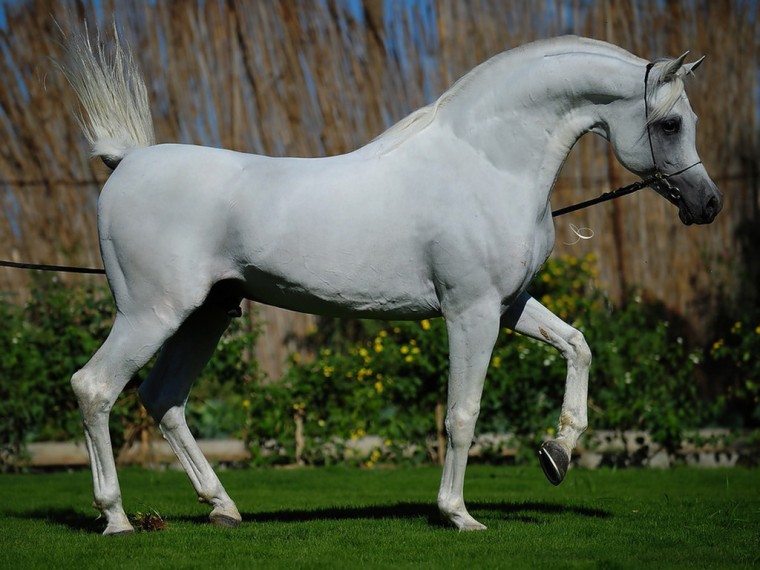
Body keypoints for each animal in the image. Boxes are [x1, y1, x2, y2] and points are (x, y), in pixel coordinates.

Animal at [56, 28, 722, 534]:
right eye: (669, 124)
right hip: (152, 314)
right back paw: (116, 519)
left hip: (206, 315)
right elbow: (461, 414)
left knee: (163, 398)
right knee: (95, 388)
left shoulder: (510, 306)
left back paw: (223, 507)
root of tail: (127, 163)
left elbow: (578, 346)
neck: (488, 163)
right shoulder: (471, 312)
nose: (708, 204)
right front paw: (459, 515)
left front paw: (556, 453)